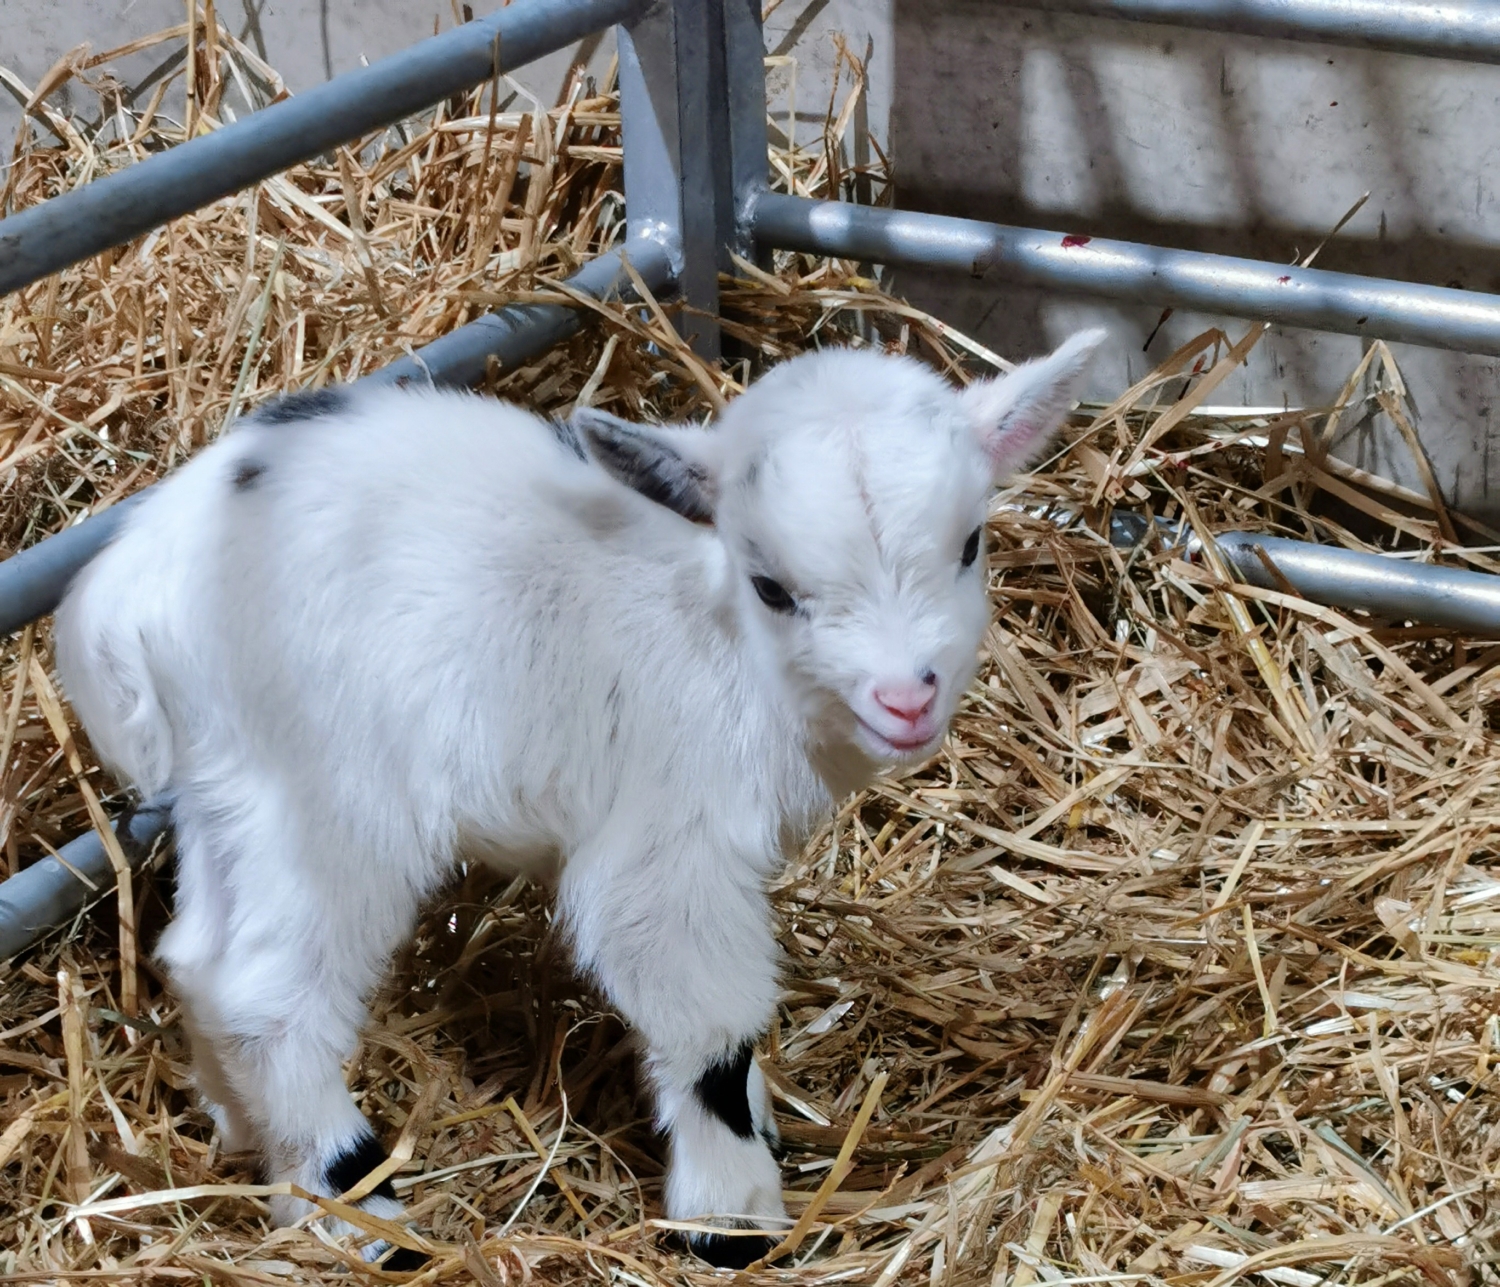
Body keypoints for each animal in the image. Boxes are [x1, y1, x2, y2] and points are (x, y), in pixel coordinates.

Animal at [54, 330, 1104, 1268]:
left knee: (196, 958)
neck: (721, 632)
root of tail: (124, 598)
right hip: (327, 801)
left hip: (234, 789)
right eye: (772, 586)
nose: (905, 698)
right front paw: (729, 1220)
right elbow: (708, 1025)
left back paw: (247, 1139)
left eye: (969, 544)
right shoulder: (669, 842)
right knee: (264, 992)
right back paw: (357, 1209)